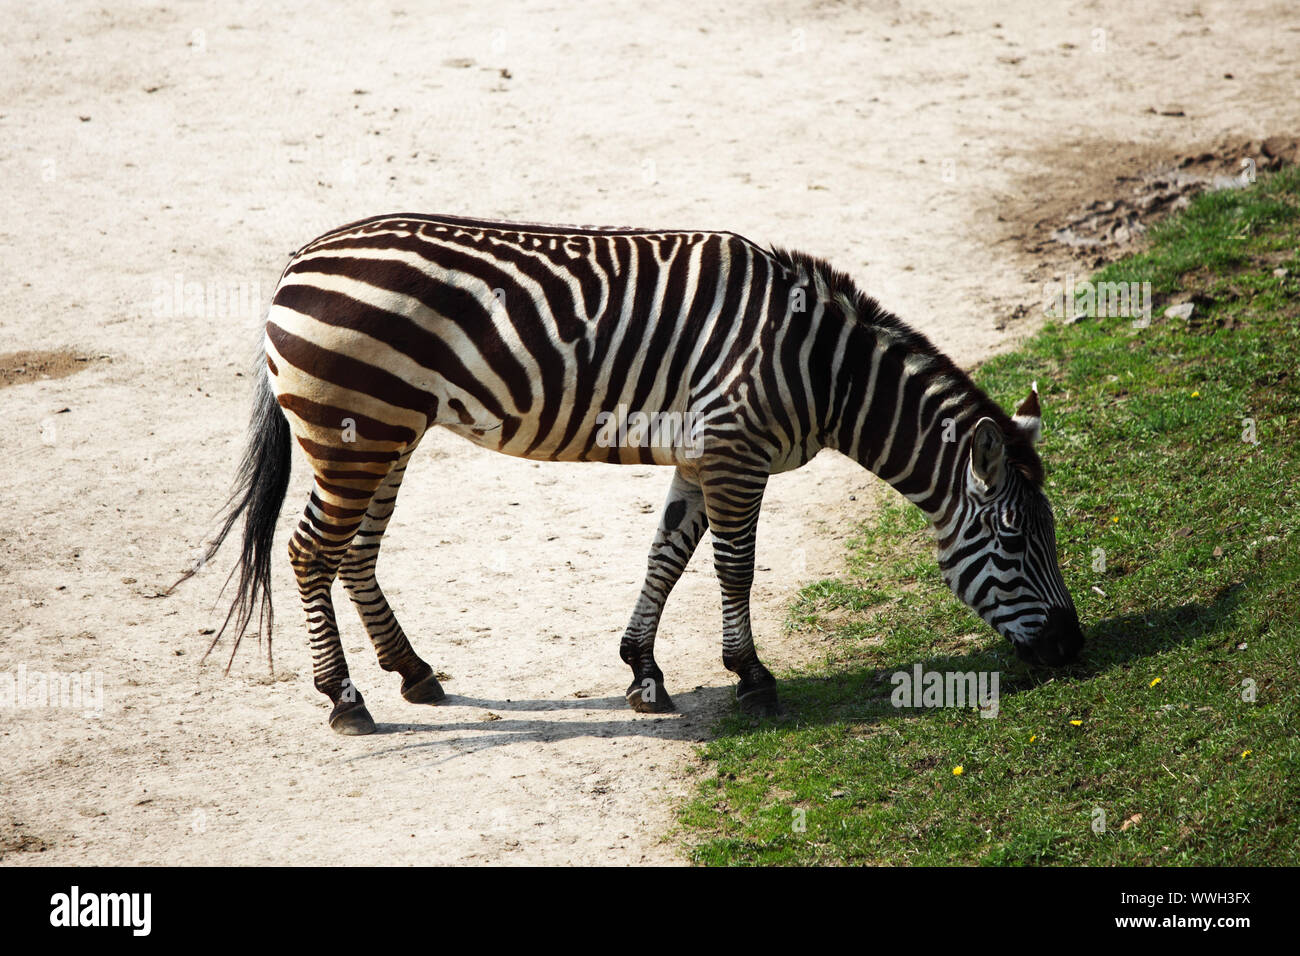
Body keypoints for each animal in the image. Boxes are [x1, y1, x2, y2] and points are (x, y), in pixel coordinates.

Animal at [181, 213, 1083, 735]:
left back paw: (413, 674)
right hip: (356, 433)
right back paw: (343, 698)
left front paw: (643, 671)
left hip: (385, 435)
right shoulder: (737, 451)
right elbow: (733, 566)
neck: (822, 368)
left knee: (355, 554)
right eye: (1015, 544)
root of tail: (298, 260)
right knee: (310, 552)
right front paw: (752, 677)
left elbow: (667, 557)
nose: (1074, 650)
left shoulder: (702, 454)